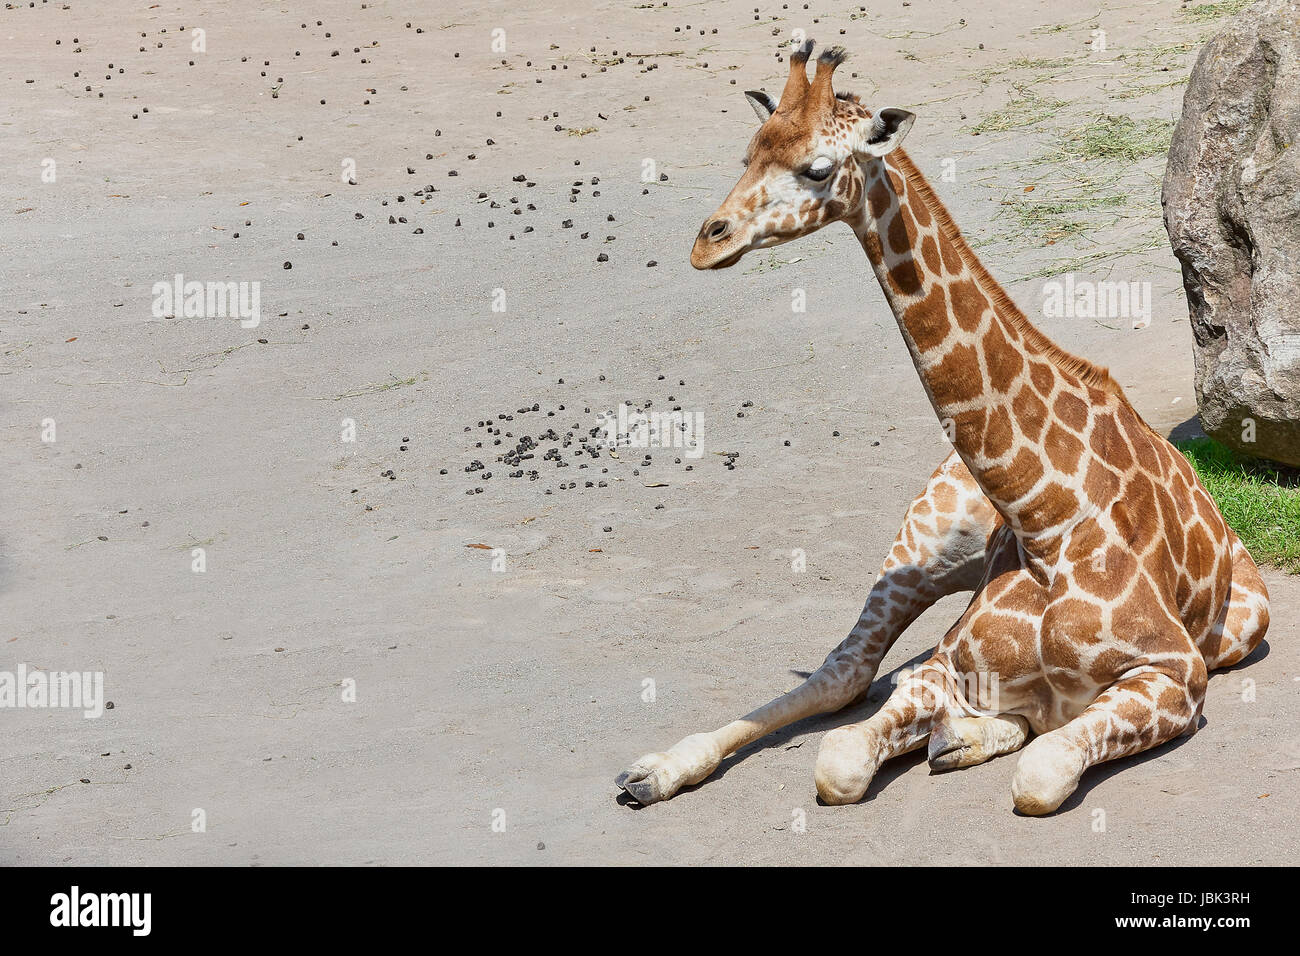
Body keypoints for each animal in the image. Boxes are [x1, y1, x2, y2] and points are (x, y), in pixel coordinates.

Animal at [616, 41, 1271, 814]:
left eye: (816, 168)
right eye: (747, 152)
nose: (706, 243)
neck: (1043, 515)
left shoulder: (1174, 675)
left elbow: (1041, 771)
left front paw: (974, 736)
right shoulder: (946, 665)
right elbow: (841, 759)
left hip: (1242, 627)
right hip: (920, 547)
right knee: (847, 669)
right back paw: (652, 771)